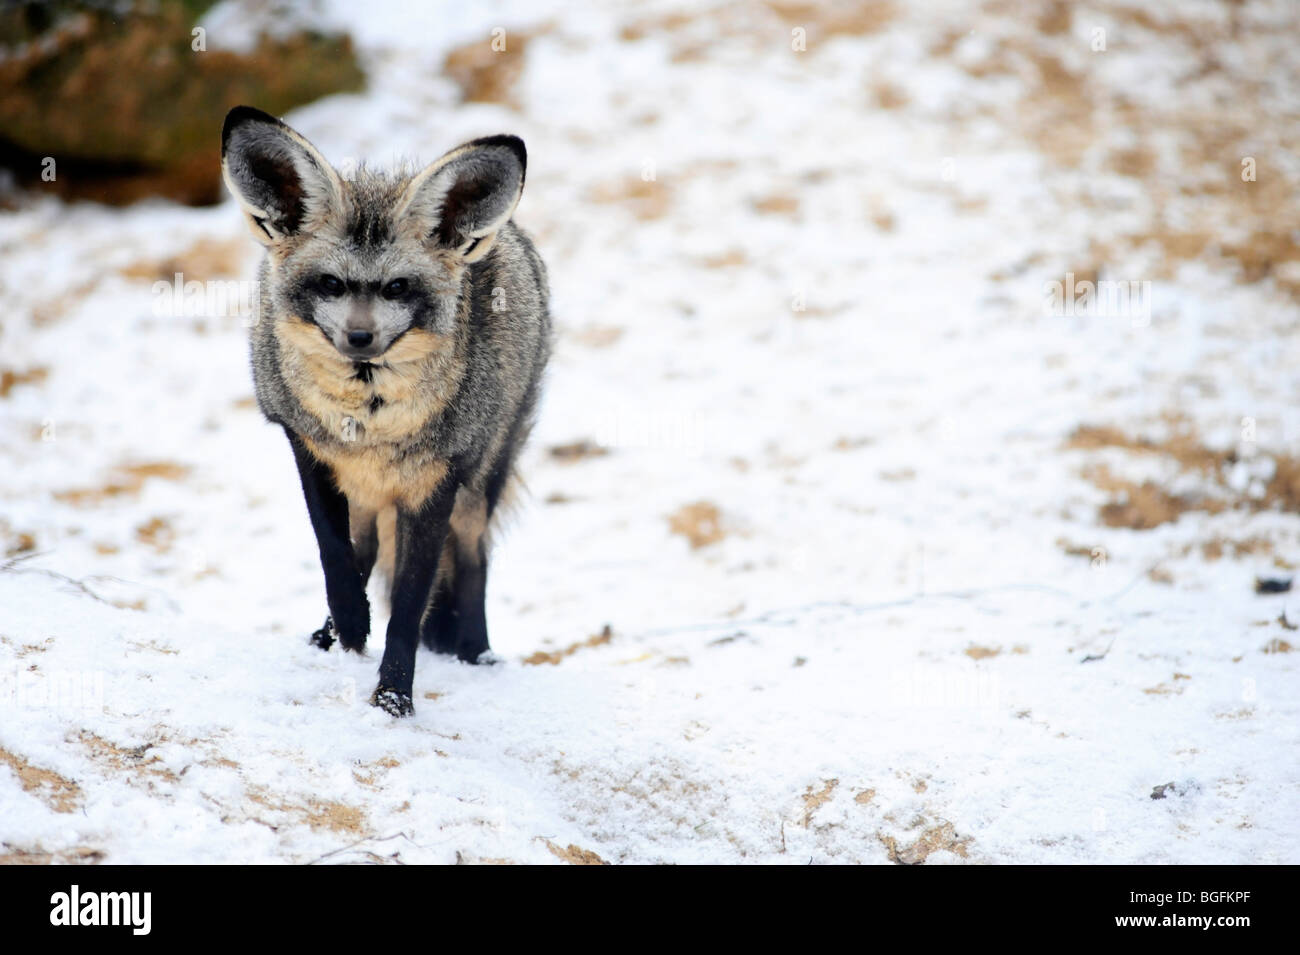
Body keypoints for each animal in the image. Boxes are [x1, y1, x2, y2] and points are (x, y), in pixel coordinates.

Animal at [220, 106, 551, 717]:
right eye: (331, 283)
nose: (360, 339)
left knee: (474, 560)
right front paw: (351, 627)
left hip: (480, 483)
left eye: (397, 288)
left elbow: (410, 605)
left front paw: (394, 697)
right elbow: (336, 557)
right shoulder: (308, 449)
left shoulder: (436, 483)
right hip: (367, 497)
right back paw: (330, 638)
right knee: (365, 552)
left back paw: (476, 653)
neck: (369, 424)